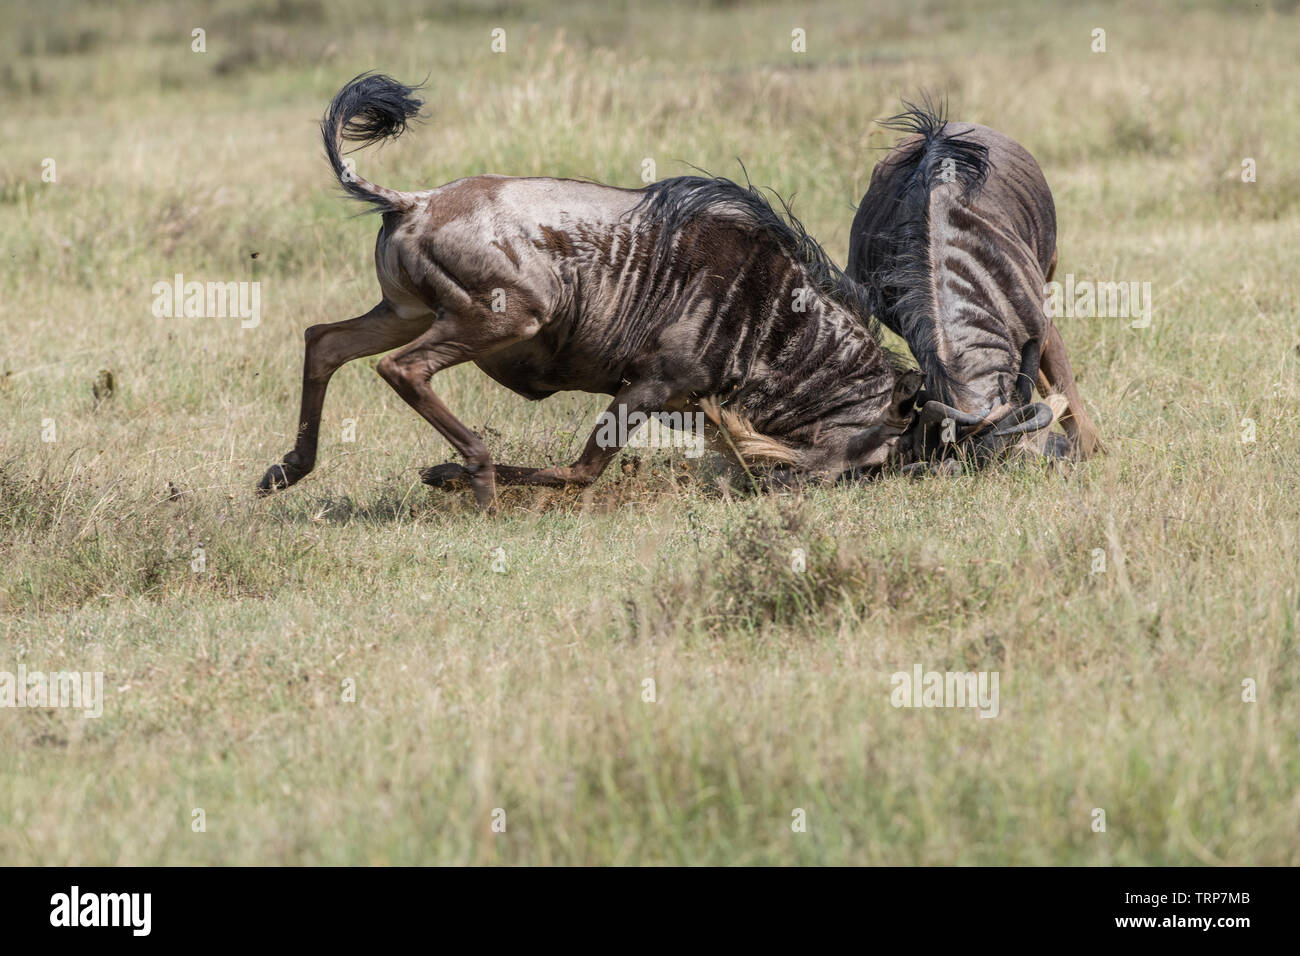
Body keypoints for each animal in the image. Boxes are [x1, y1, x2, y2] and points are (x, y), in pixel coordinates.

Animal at [257, 73, 922, 510]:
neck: (775, 317)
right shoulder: (652, 384)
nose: (774, 494)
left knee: (324, 342)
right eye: (871, 459)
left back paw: (287, 471)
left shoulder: (676, 401)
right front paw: (447, 475)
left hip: (407, 311)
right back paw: (478, 475)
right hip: (505, 317)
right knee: (402, 368)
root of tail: (413, 202)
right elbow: (583, 471)